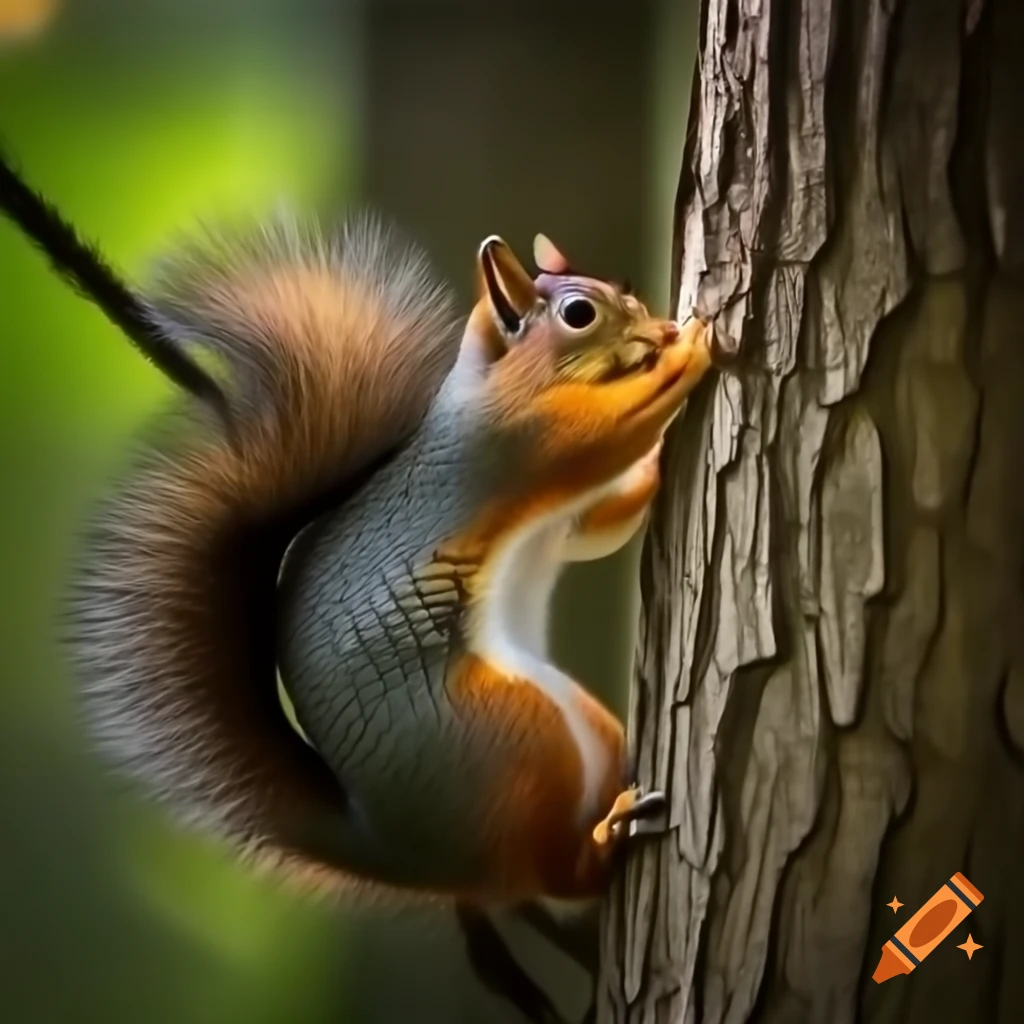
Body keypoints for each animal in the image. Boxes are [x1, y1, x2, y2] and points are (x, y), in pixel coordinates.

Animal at [0, 149, 711, 907]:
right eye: (580, 313)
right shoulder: (517, 443)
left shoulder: (563, 515)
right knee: (557, 873)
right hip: (509, 738)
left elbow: (600, 524)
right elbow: (604, 431)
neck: (489, 383)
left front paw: (661, 442)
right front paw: (690, 351)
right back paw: (610, 839)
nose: (656, 331)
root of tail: (407, 852)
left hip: (575, 725)